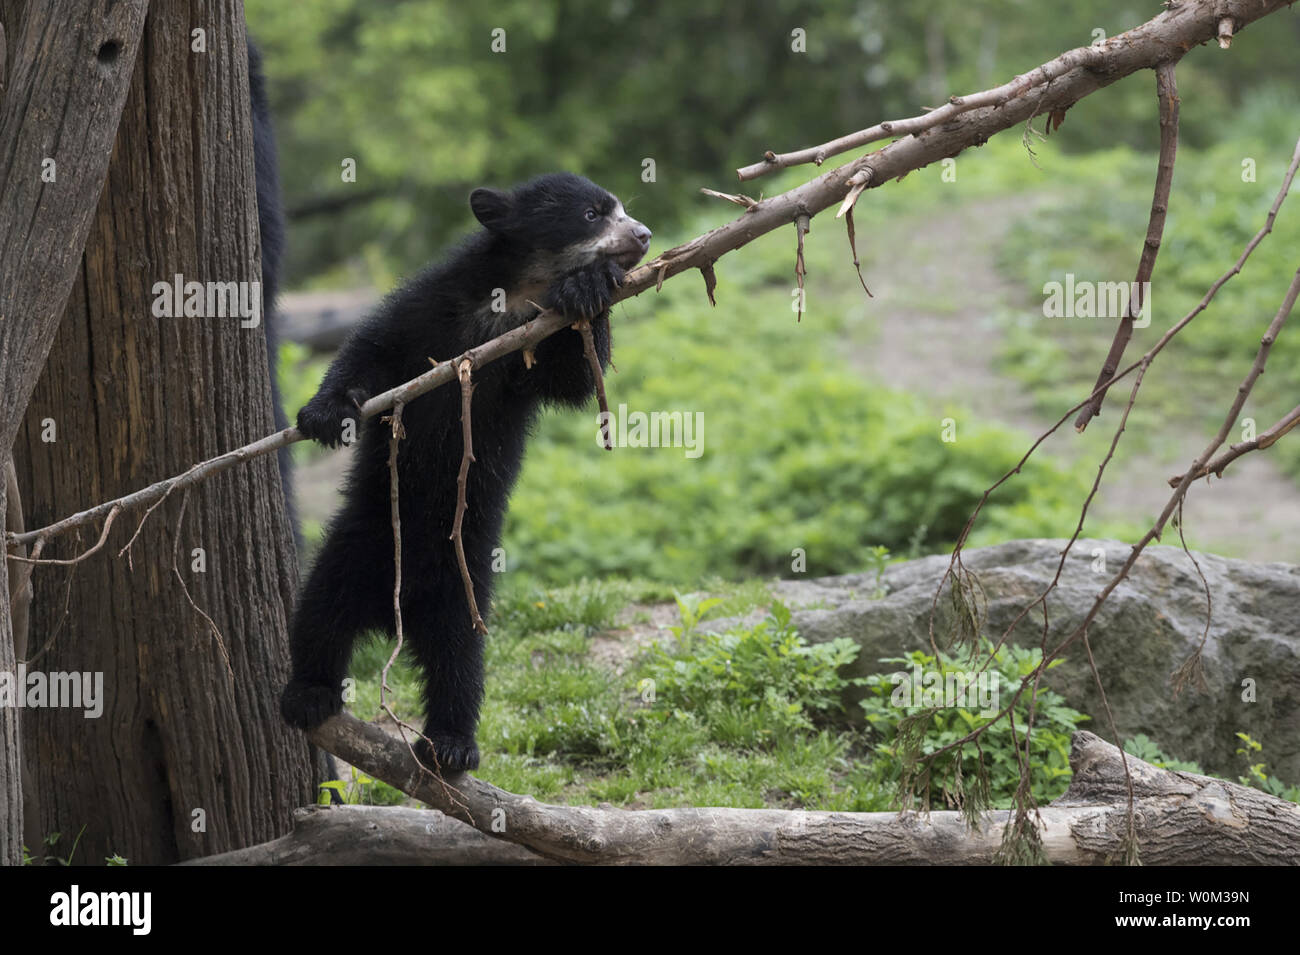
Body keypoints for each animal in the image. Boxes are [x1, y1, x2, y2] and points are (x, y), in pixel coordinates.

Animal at [280, 173, 651, 773]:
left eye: (620, 210)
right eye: (593, 214)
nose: (643, 235)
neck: (518, 290)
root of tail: (395, 612)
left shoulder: (527, 352)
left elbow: (573, 375)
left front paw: (589, 288)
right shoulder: (429, 305)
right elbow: (371, 346)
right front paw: (323, 414)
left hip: (465, 586)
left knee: (460, 664)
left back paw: (452, 744)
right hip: (354, 545)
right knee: (319, 613)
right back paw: (309, 693)